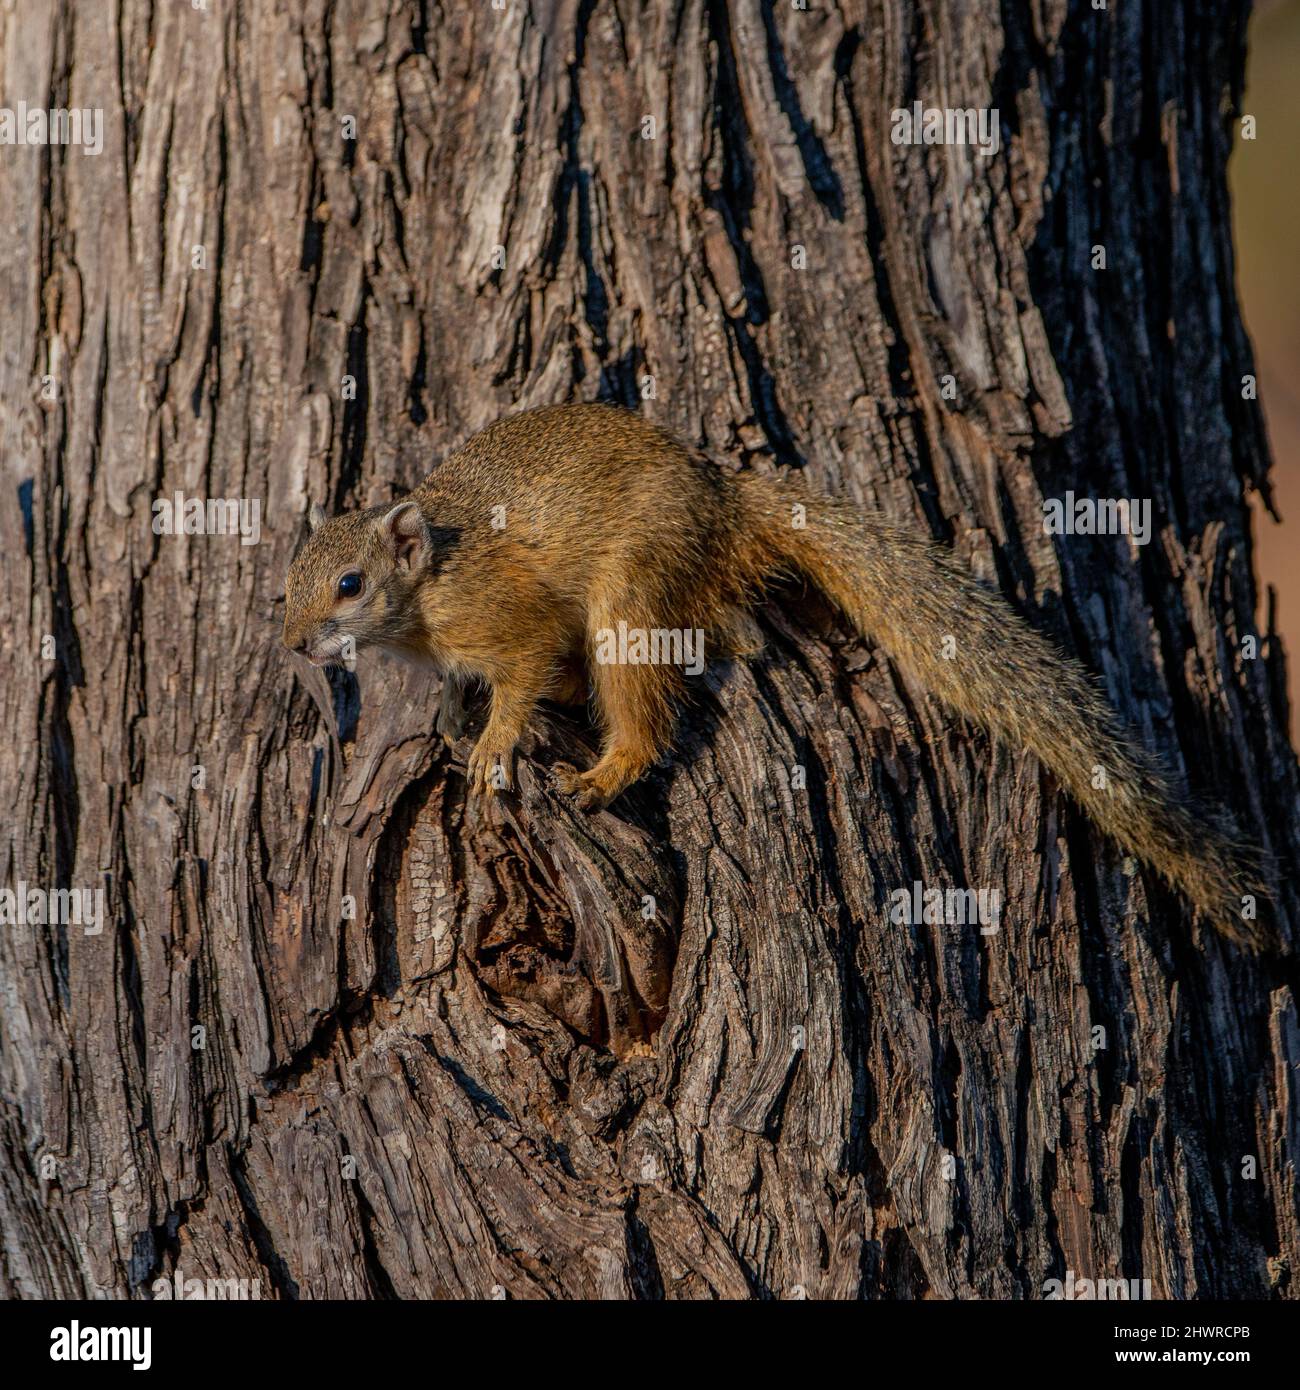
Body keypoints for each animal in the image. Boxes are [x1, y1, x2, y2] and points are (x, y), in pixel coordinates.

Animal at [283, 402, 1264, 948]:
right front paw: (453, 712)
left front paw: (492, 745)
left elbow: (524, 669)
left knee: (644, 700)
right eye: (287, 581)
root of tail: (725, 503)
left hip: (631, 588)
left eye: (349, 583)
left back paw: (607, 770)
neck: (423, 604)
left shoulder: (503, 615)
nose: (293, 644)